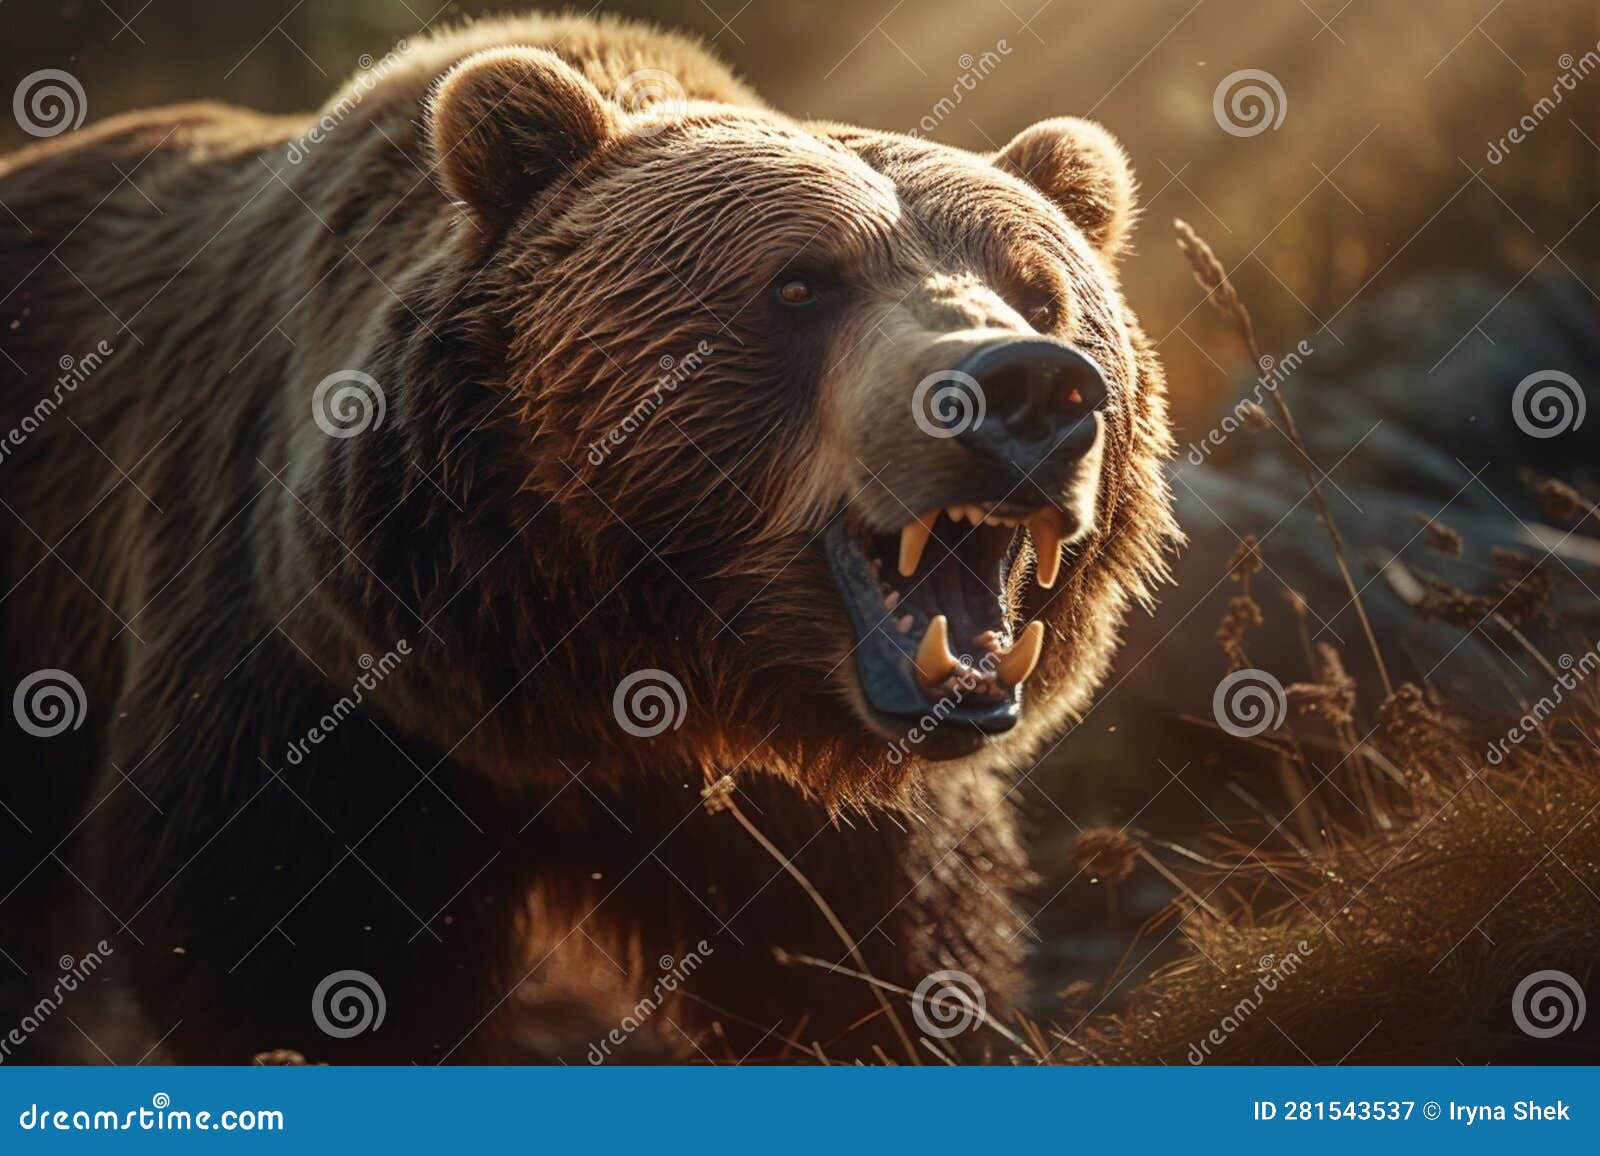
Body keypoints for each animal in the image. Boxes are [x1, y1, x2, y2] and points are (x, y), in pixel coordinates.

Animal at [0, 11, 1177, 1063]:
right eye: (800, 282)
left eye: (1041, 292)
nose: (1030, 387)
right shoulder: (323, 698)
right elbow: (299, 956)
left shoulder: (821, 819)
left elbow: (867, 968)